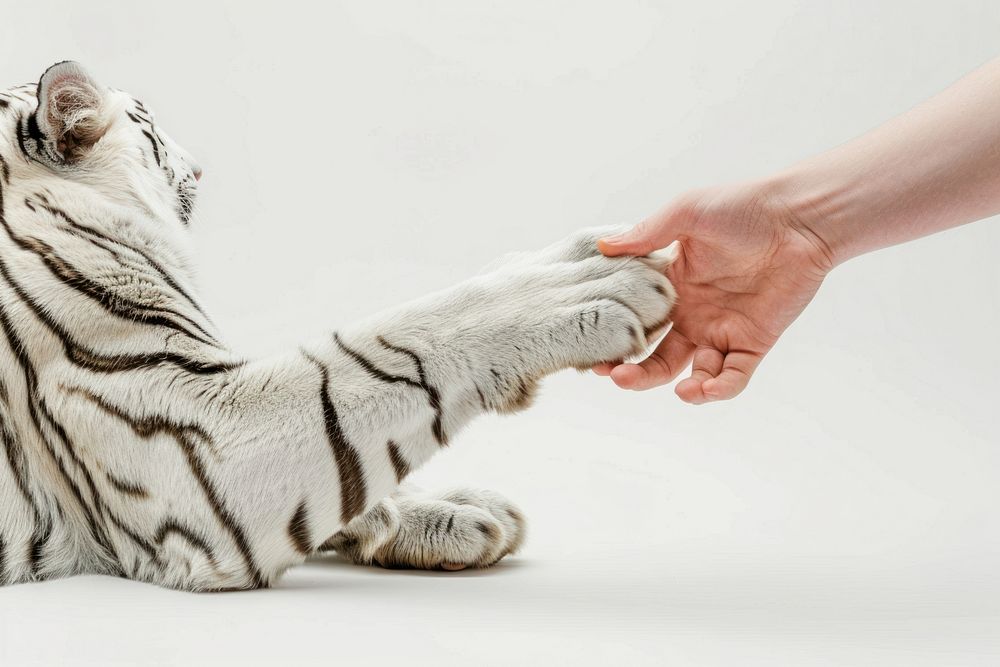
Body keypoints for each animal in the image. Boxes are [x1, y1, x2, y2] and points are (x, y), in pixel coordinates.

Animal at [0, 61, 677, 591]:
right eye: (149, 123)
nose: (201, 168)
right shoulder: (195, 443)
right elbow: (375, 359)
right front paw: (584, 283)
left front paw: (446, 512)